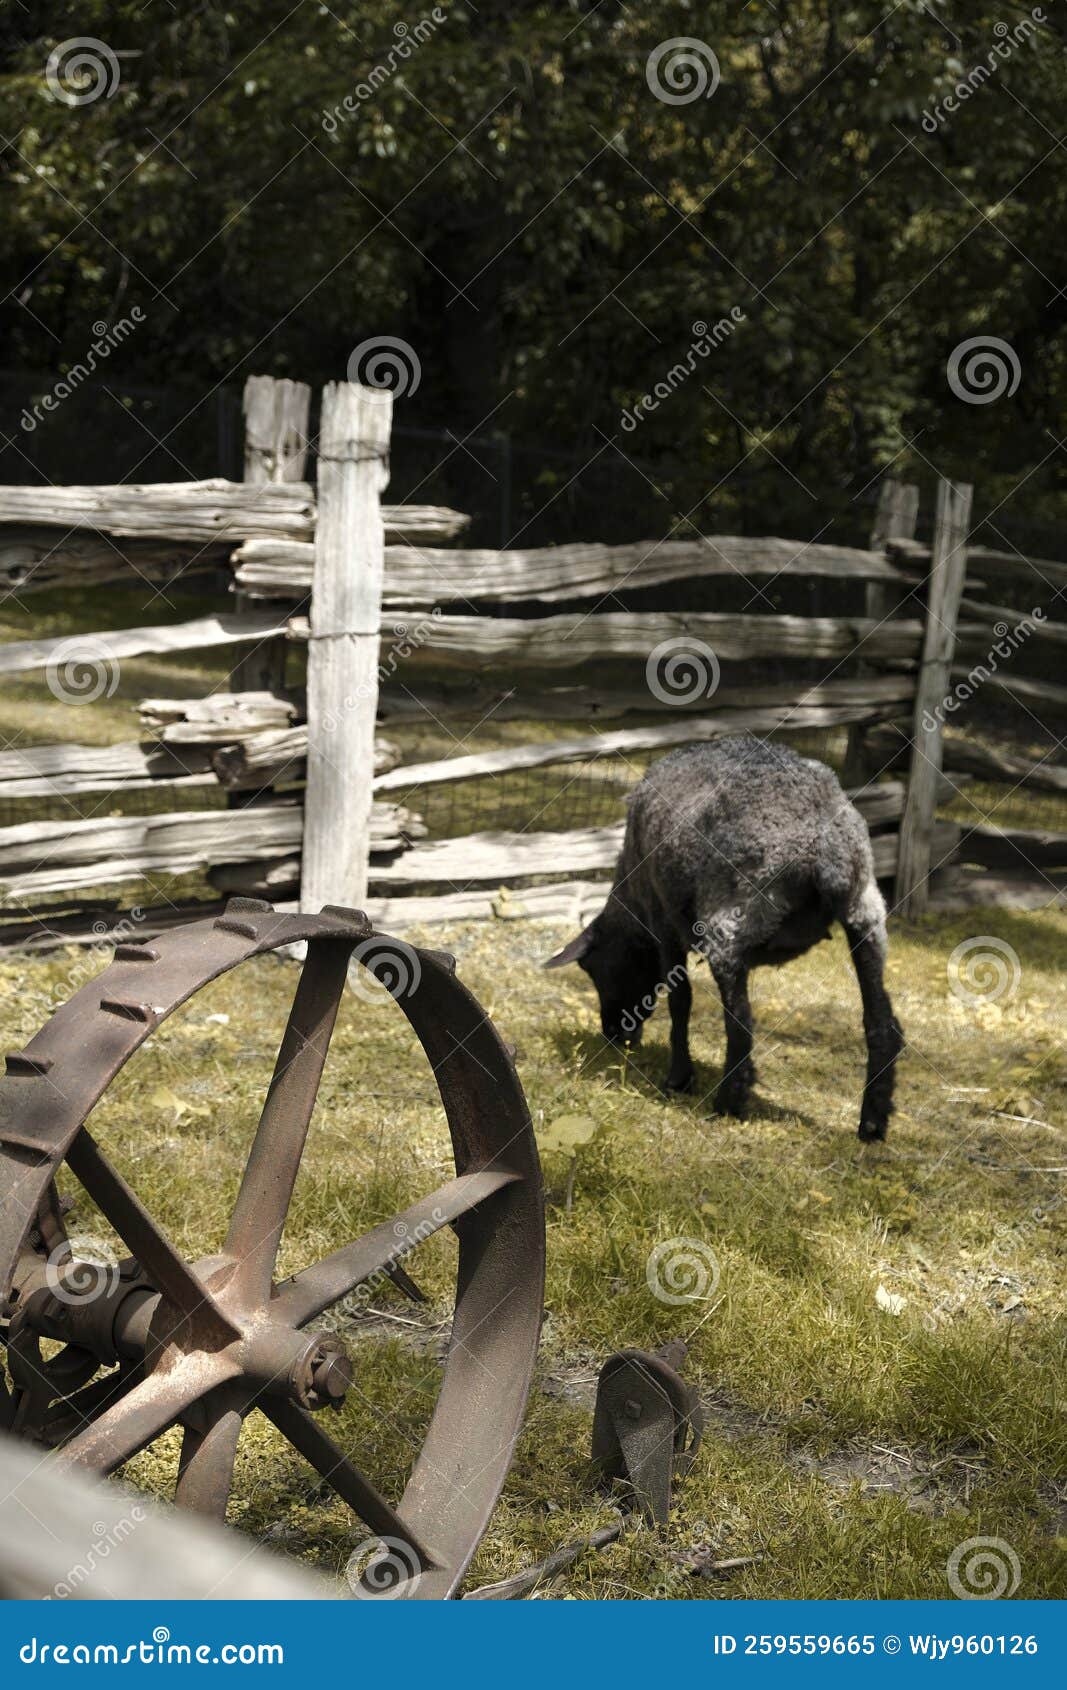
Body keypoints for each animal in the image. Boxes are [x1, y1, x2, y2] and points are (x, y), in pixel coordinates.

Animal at [546, 736, 903, 1141]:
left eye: (595, 970)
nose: (612, 1034)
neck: (631, 893)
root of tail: (824, 844)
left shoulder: (664, 920)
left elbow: (680, 1001)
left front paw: (679, 1079)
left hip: (731, 919)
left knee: (741, 1023)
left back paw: (729, 1101)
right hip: (865, 914)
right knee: (880, 1024)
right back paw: (872, 1122)